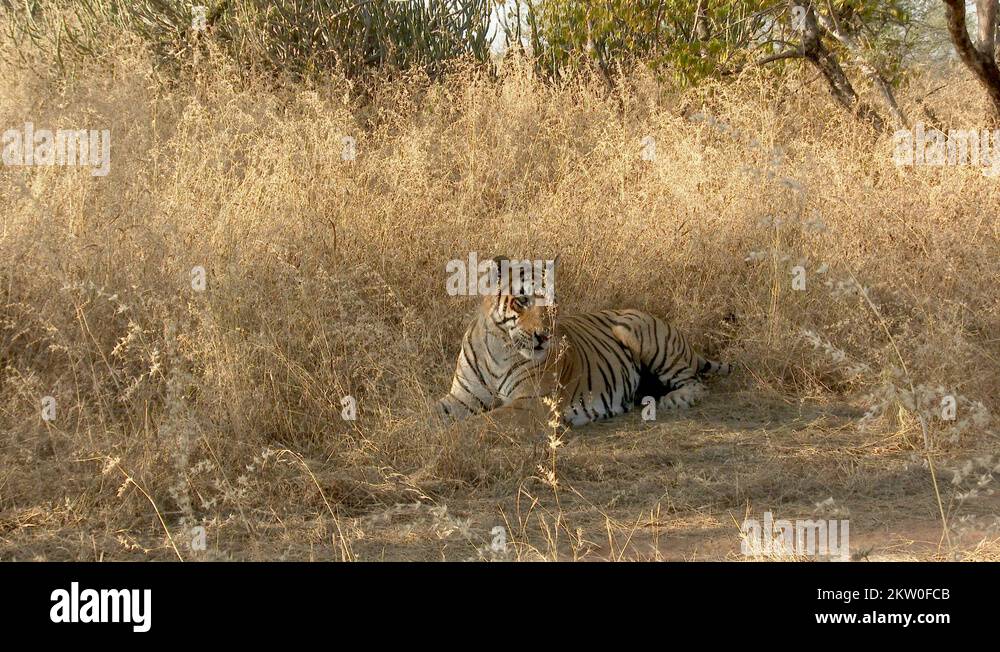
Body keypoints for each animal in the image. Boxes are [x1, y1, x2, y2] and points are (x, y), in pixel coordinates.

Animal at [434, 256, 731, 429]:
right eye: (522, 300)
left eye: (552, 304)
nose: (544, 336)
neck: (499, 347)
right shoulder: (462, 398)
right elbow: (431, 412)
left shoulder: (530, 403)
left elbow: (481, 423)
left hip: (640, 336)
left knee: (697, 383)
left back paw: (674, 399)